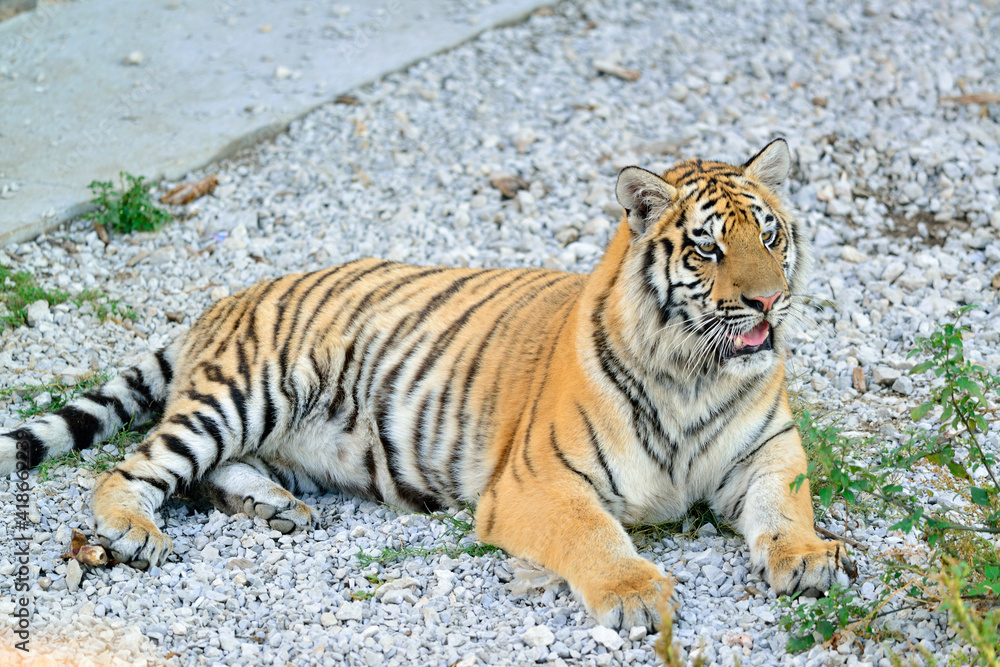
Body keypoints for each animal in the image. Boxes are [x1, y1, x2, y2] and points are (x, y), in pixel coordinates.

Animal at [0, 139, 855, 629]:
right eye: (709, 248)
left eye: (769, 234)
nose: (769, 300)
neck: (695, 375)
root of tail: (222, 301)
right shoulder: (538, 483)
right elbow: (594, 535)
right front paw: (635, 592)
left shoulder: (768, 452)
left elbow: (786, 506)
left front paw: (809, 555)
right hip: (247, 391)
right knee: (135, 466)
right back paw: (132, 533)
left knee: (214, 473)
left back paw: (275, 508)